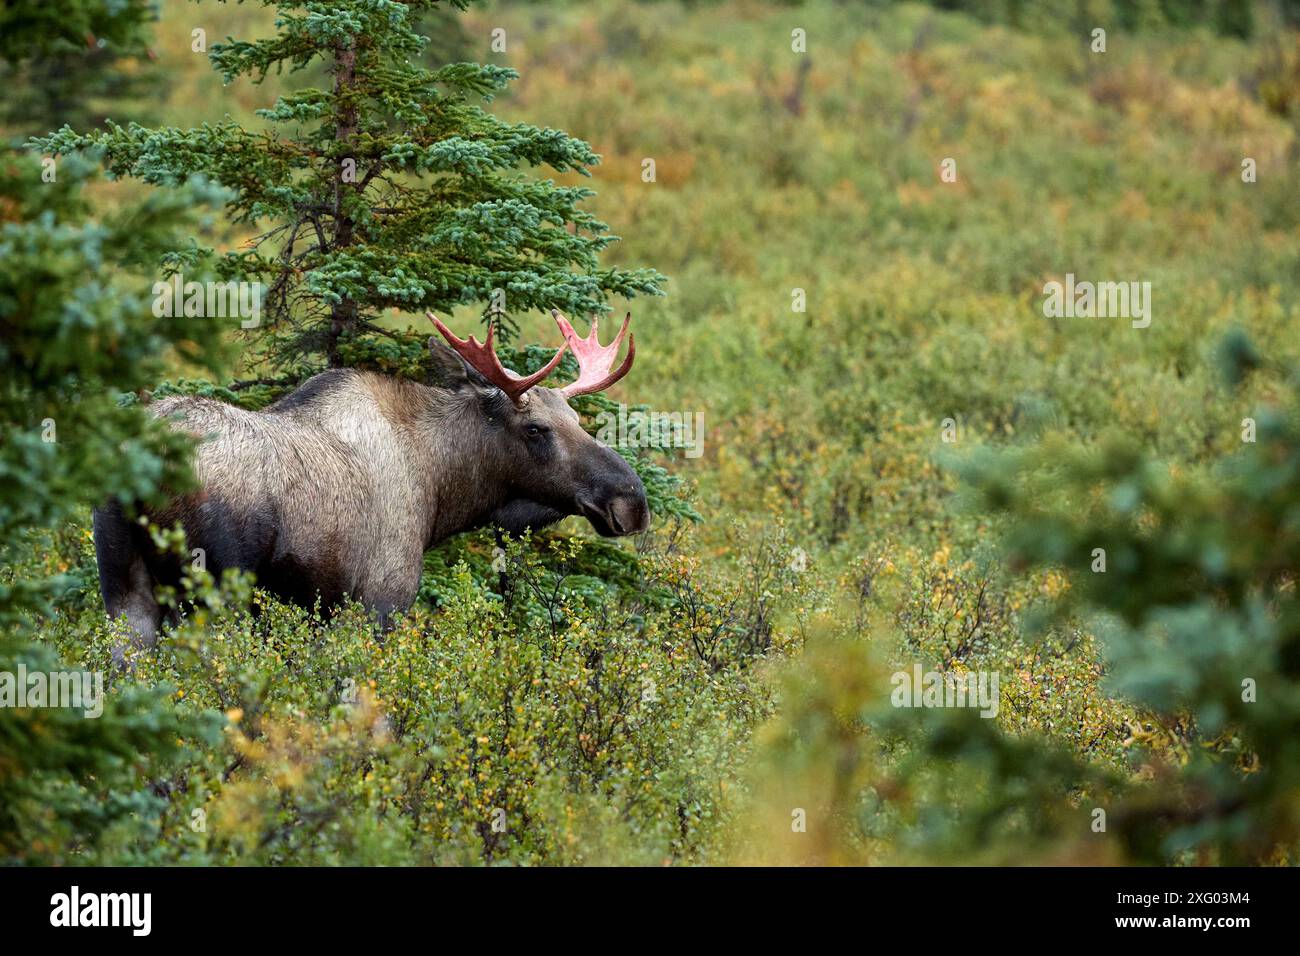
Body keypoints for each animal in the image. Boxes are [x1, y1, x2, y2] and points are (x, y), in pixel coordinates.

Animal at [93, 309, 649, 647]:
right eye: (536, 429)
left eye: (577, 420)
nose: (632, 500)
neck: (441, 491)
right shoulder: (381, 600)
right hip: (212, 595)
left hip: (124, 593)